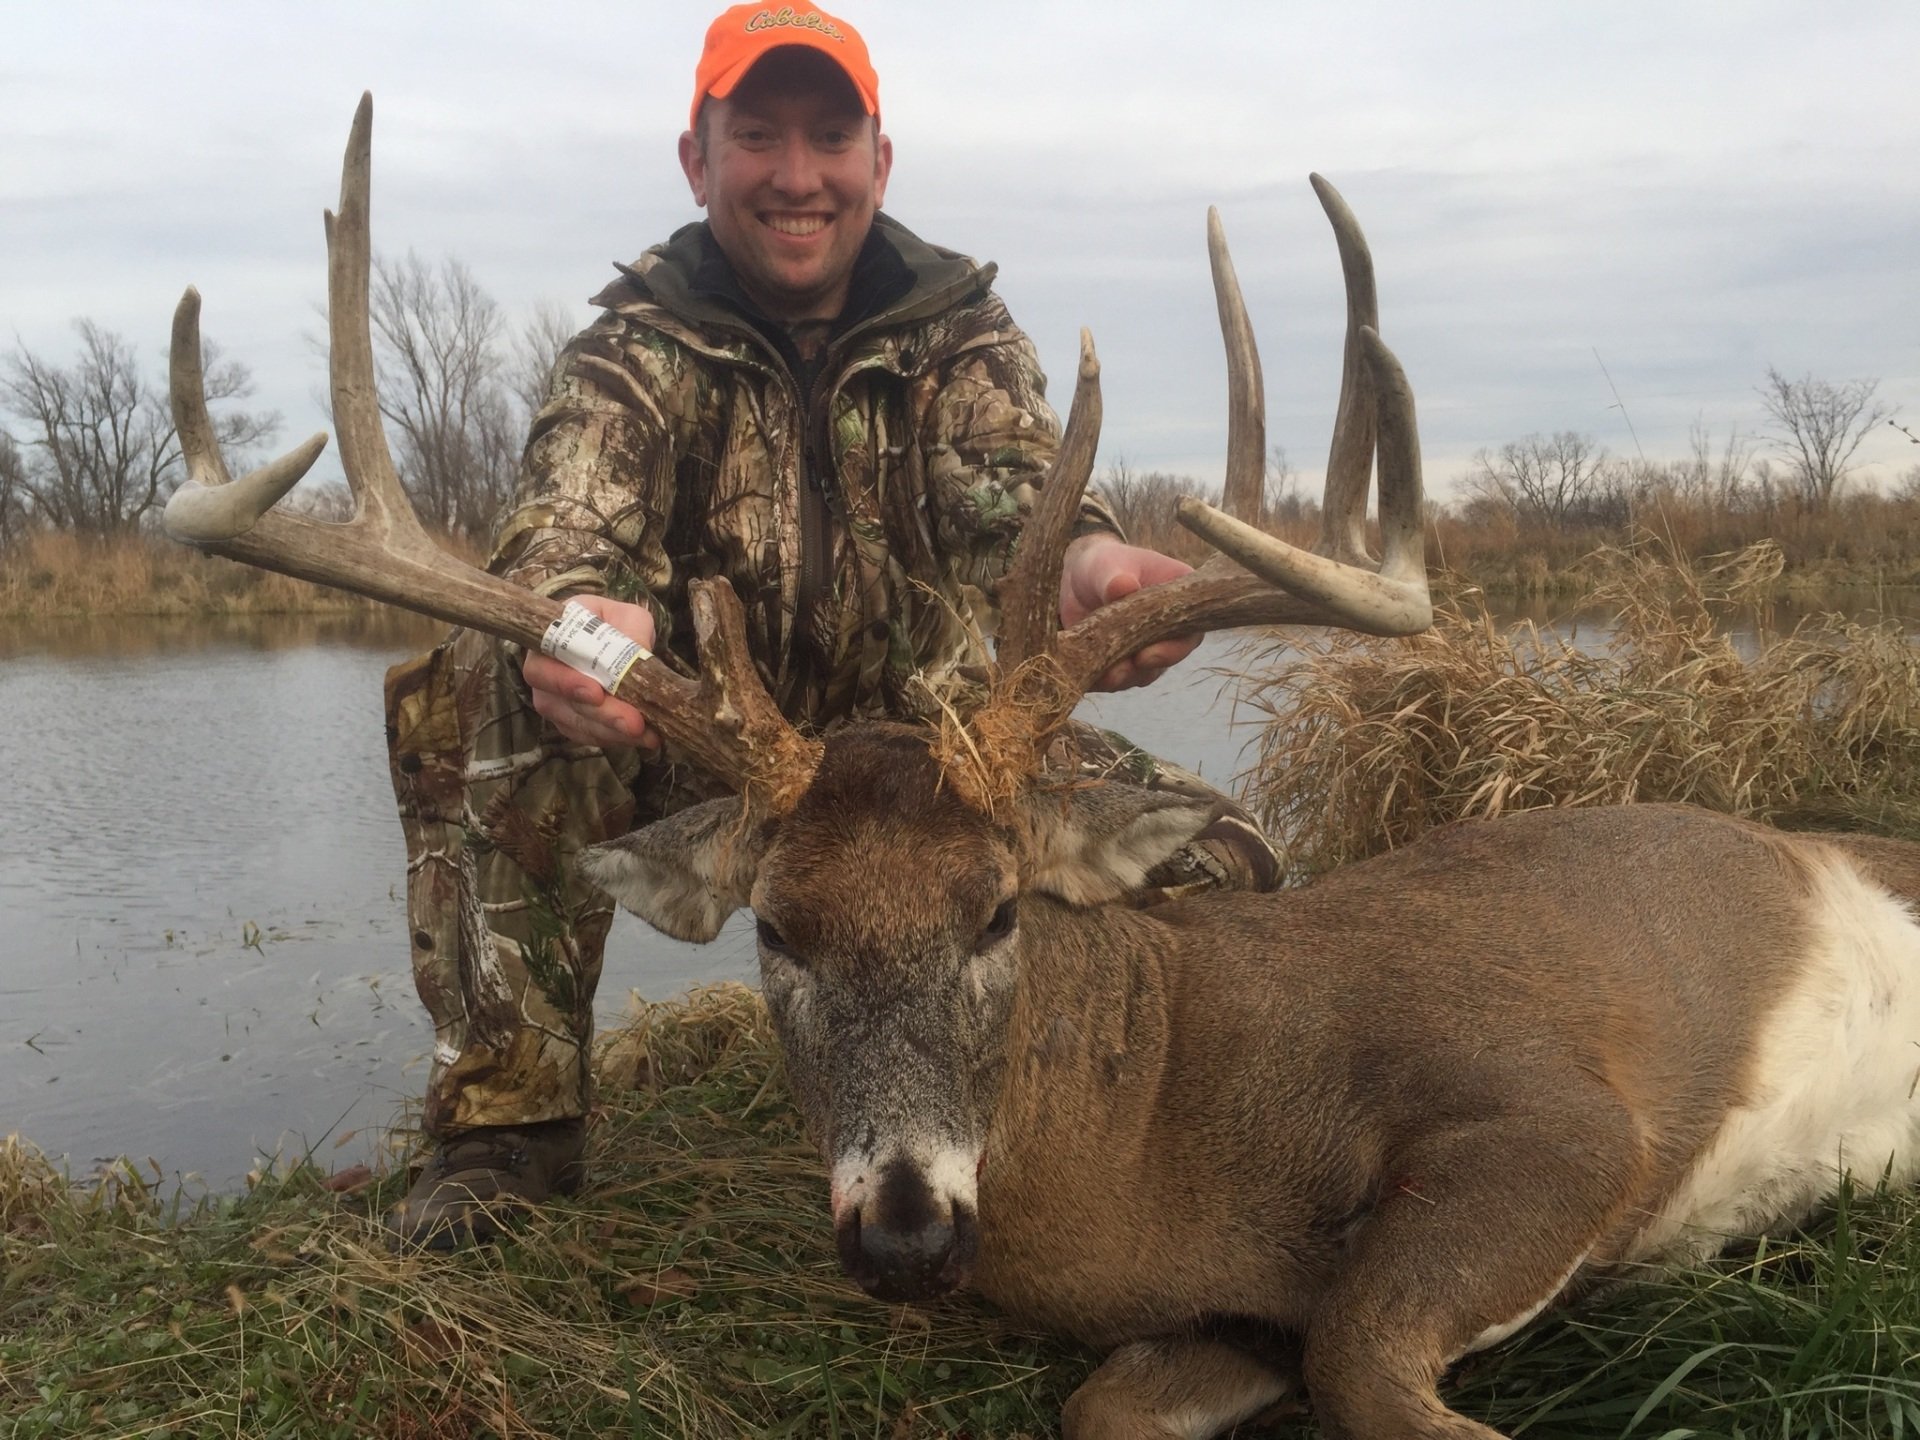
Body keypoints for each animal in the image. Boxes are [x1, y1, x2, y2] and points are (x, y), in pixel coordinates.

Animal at [168, 96, 1920, 1440]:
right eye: (776, 930)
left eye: (1000, 909)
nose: (905, 1233)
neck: (1176, 1135)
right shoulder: (1221, 1316)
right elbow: (1123, 1399)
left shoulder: (1563, 1115)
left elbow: (1368, 1353)